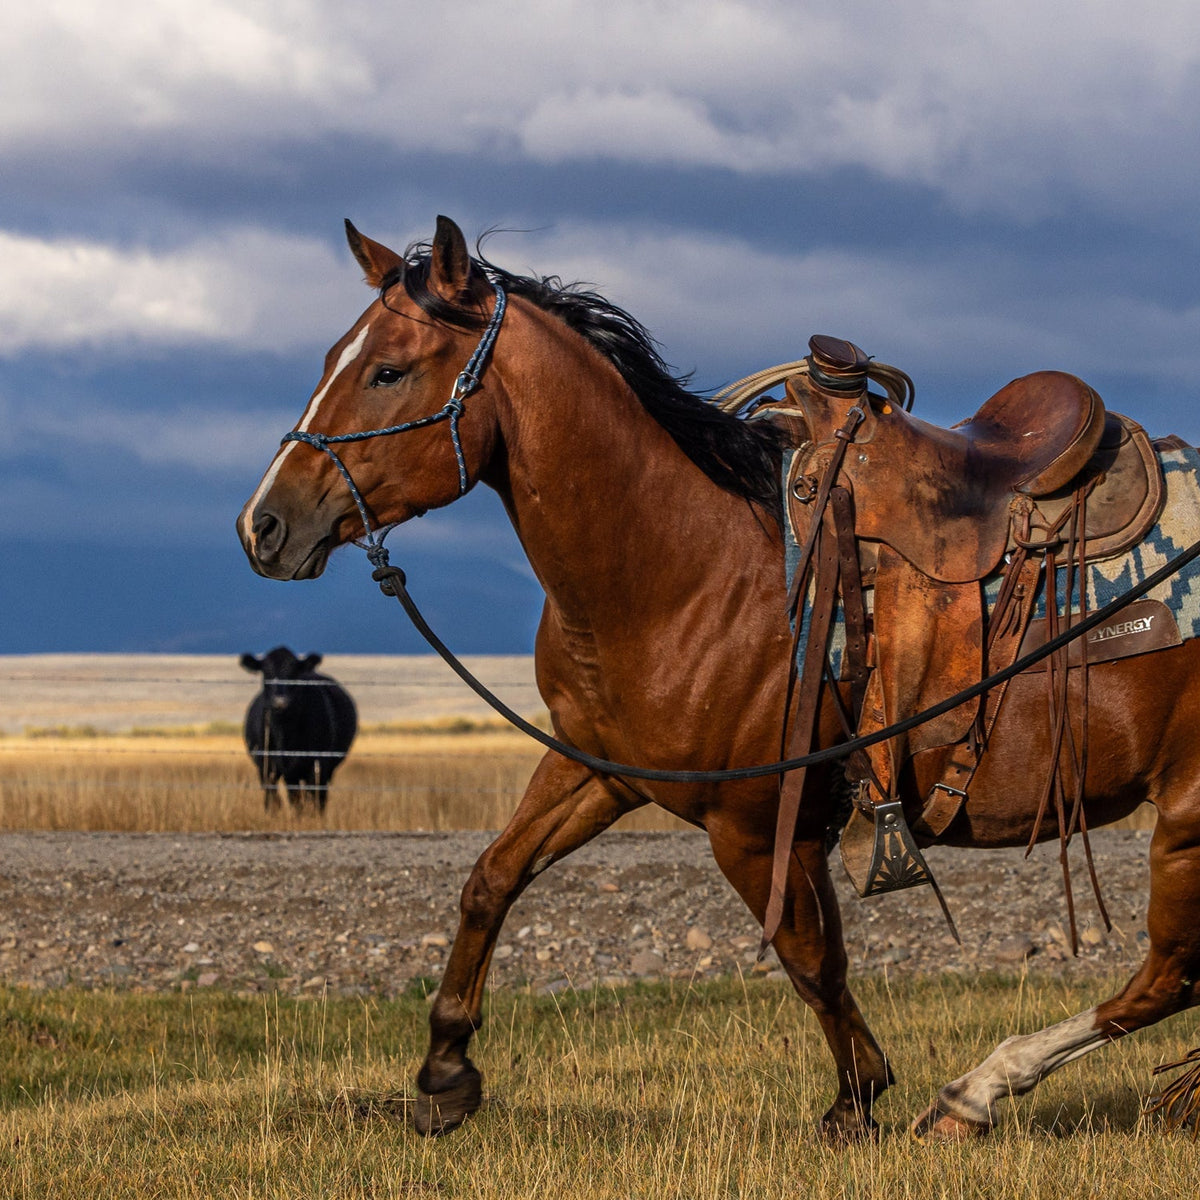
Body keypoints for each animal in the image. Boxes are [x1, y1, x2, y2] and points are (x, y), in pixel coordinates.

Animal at [238, 215, 1200, 1141]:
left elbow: (813, 958)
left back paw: (976, 1090)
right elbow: (491, 879)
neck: (682, 563)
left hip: (1184, 812)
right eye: (334, 361)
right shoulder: (599, 766)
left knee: (1167, 974)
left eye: (389, 371)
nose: (264, 526)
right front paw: (443, 1075)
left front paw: (857, 1100)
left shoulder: (753, 823)